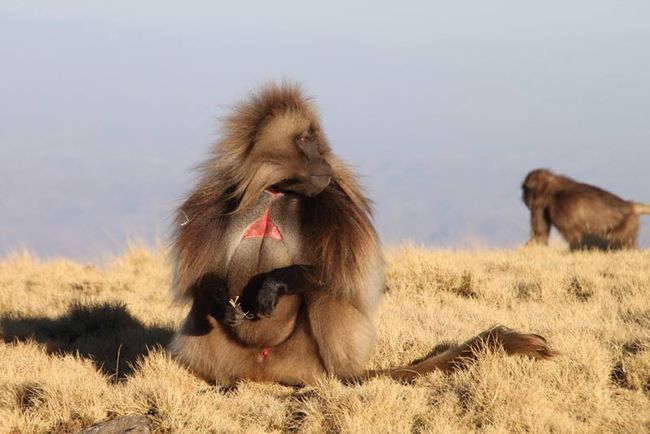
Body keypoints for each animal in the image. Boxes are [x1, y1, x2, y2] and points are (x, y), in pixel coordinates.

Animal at [169, 83, 555, 386]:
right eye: (306, 139)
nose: (324, 161)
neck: (275, 190)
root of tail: (264, 374)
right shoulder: (212, 203)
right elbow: (203, 279)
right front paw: (223, 301)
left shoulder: (337, 208)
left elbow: (337, 276)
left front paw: (270, 287)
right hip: (222, 356)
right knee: (202, 310)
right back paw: (224, 383)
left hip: (308, 362)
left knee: (324, 293)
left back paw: (347, 379)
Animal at [522, 168, 650, 250]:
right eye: (524, 189)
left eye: (528, 190)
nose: (524, 198)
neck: (551, 191)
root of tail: (629, 205)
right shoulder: (540, 207)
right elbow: (540, 236)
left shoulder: (562, 207)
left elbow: (576, 237)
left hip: (628, 224)